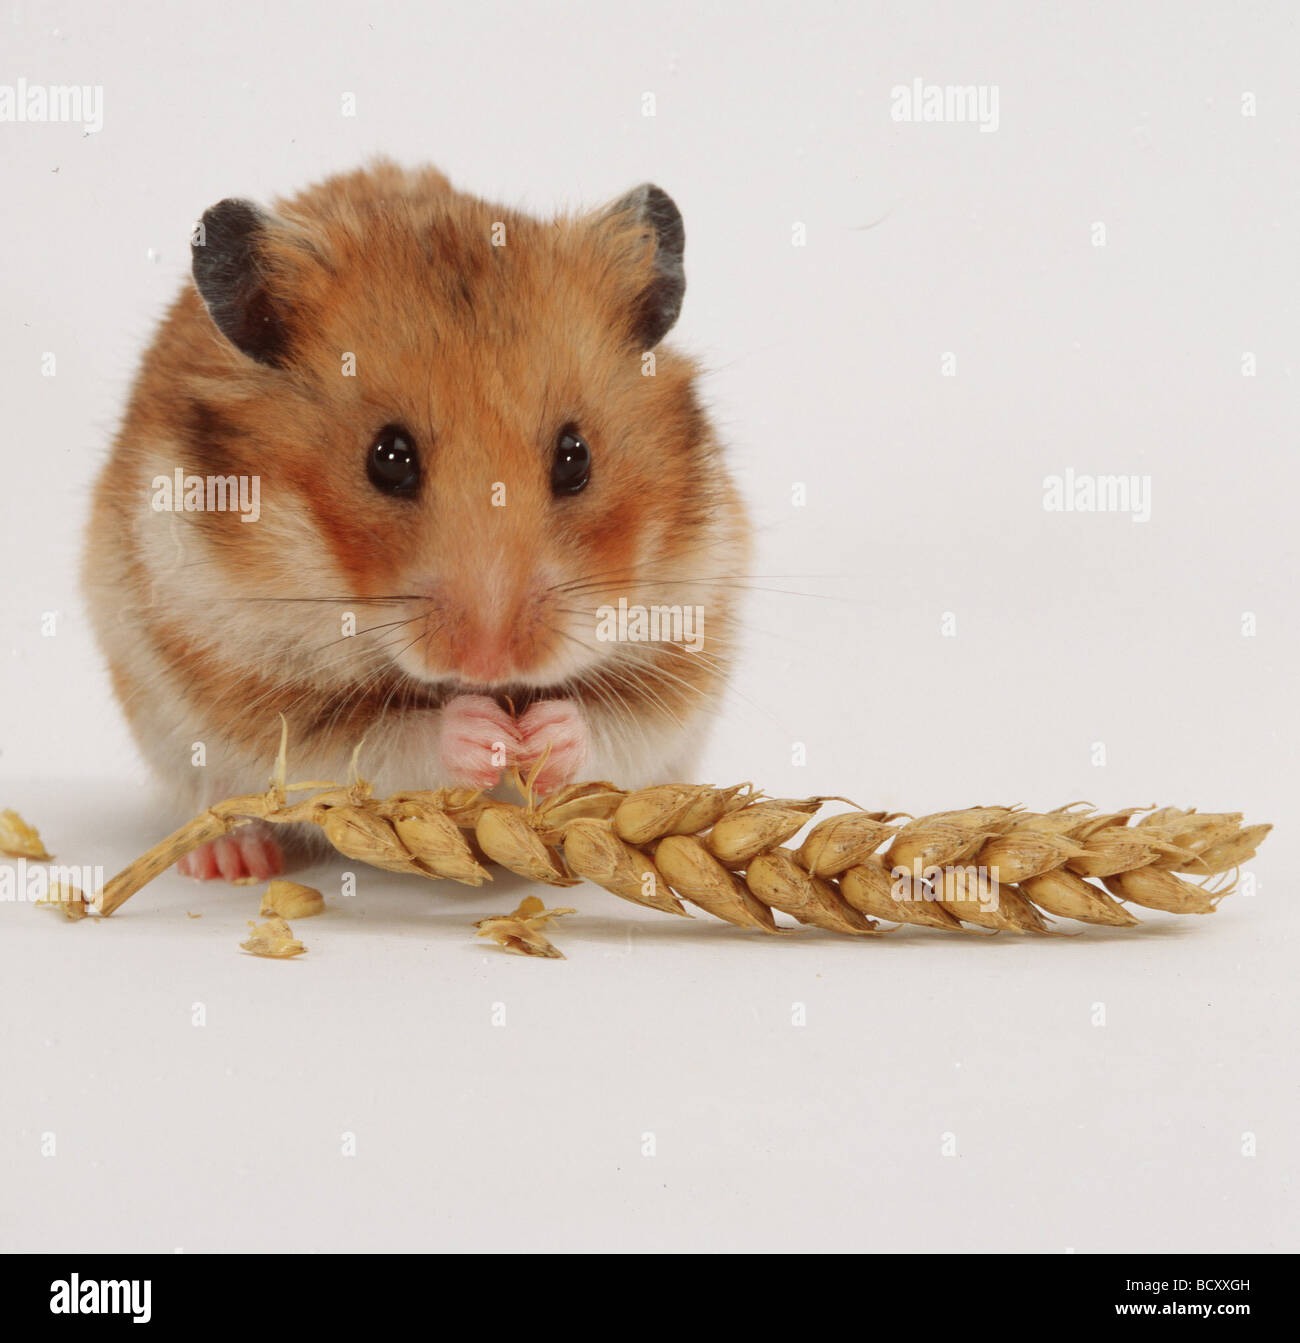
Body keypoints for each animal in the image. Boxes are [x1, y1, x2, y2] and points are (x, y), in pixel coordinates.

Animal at [83, 160, 751, 882]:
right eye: (388, 458)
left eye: (576, 456)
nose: (489, 664)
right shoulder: (247, 674)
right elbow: (389, 739)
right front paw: (488, 738)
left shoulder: (689, 637)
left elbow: (613, 726)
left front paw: (539, 737)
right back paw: (232, 860)